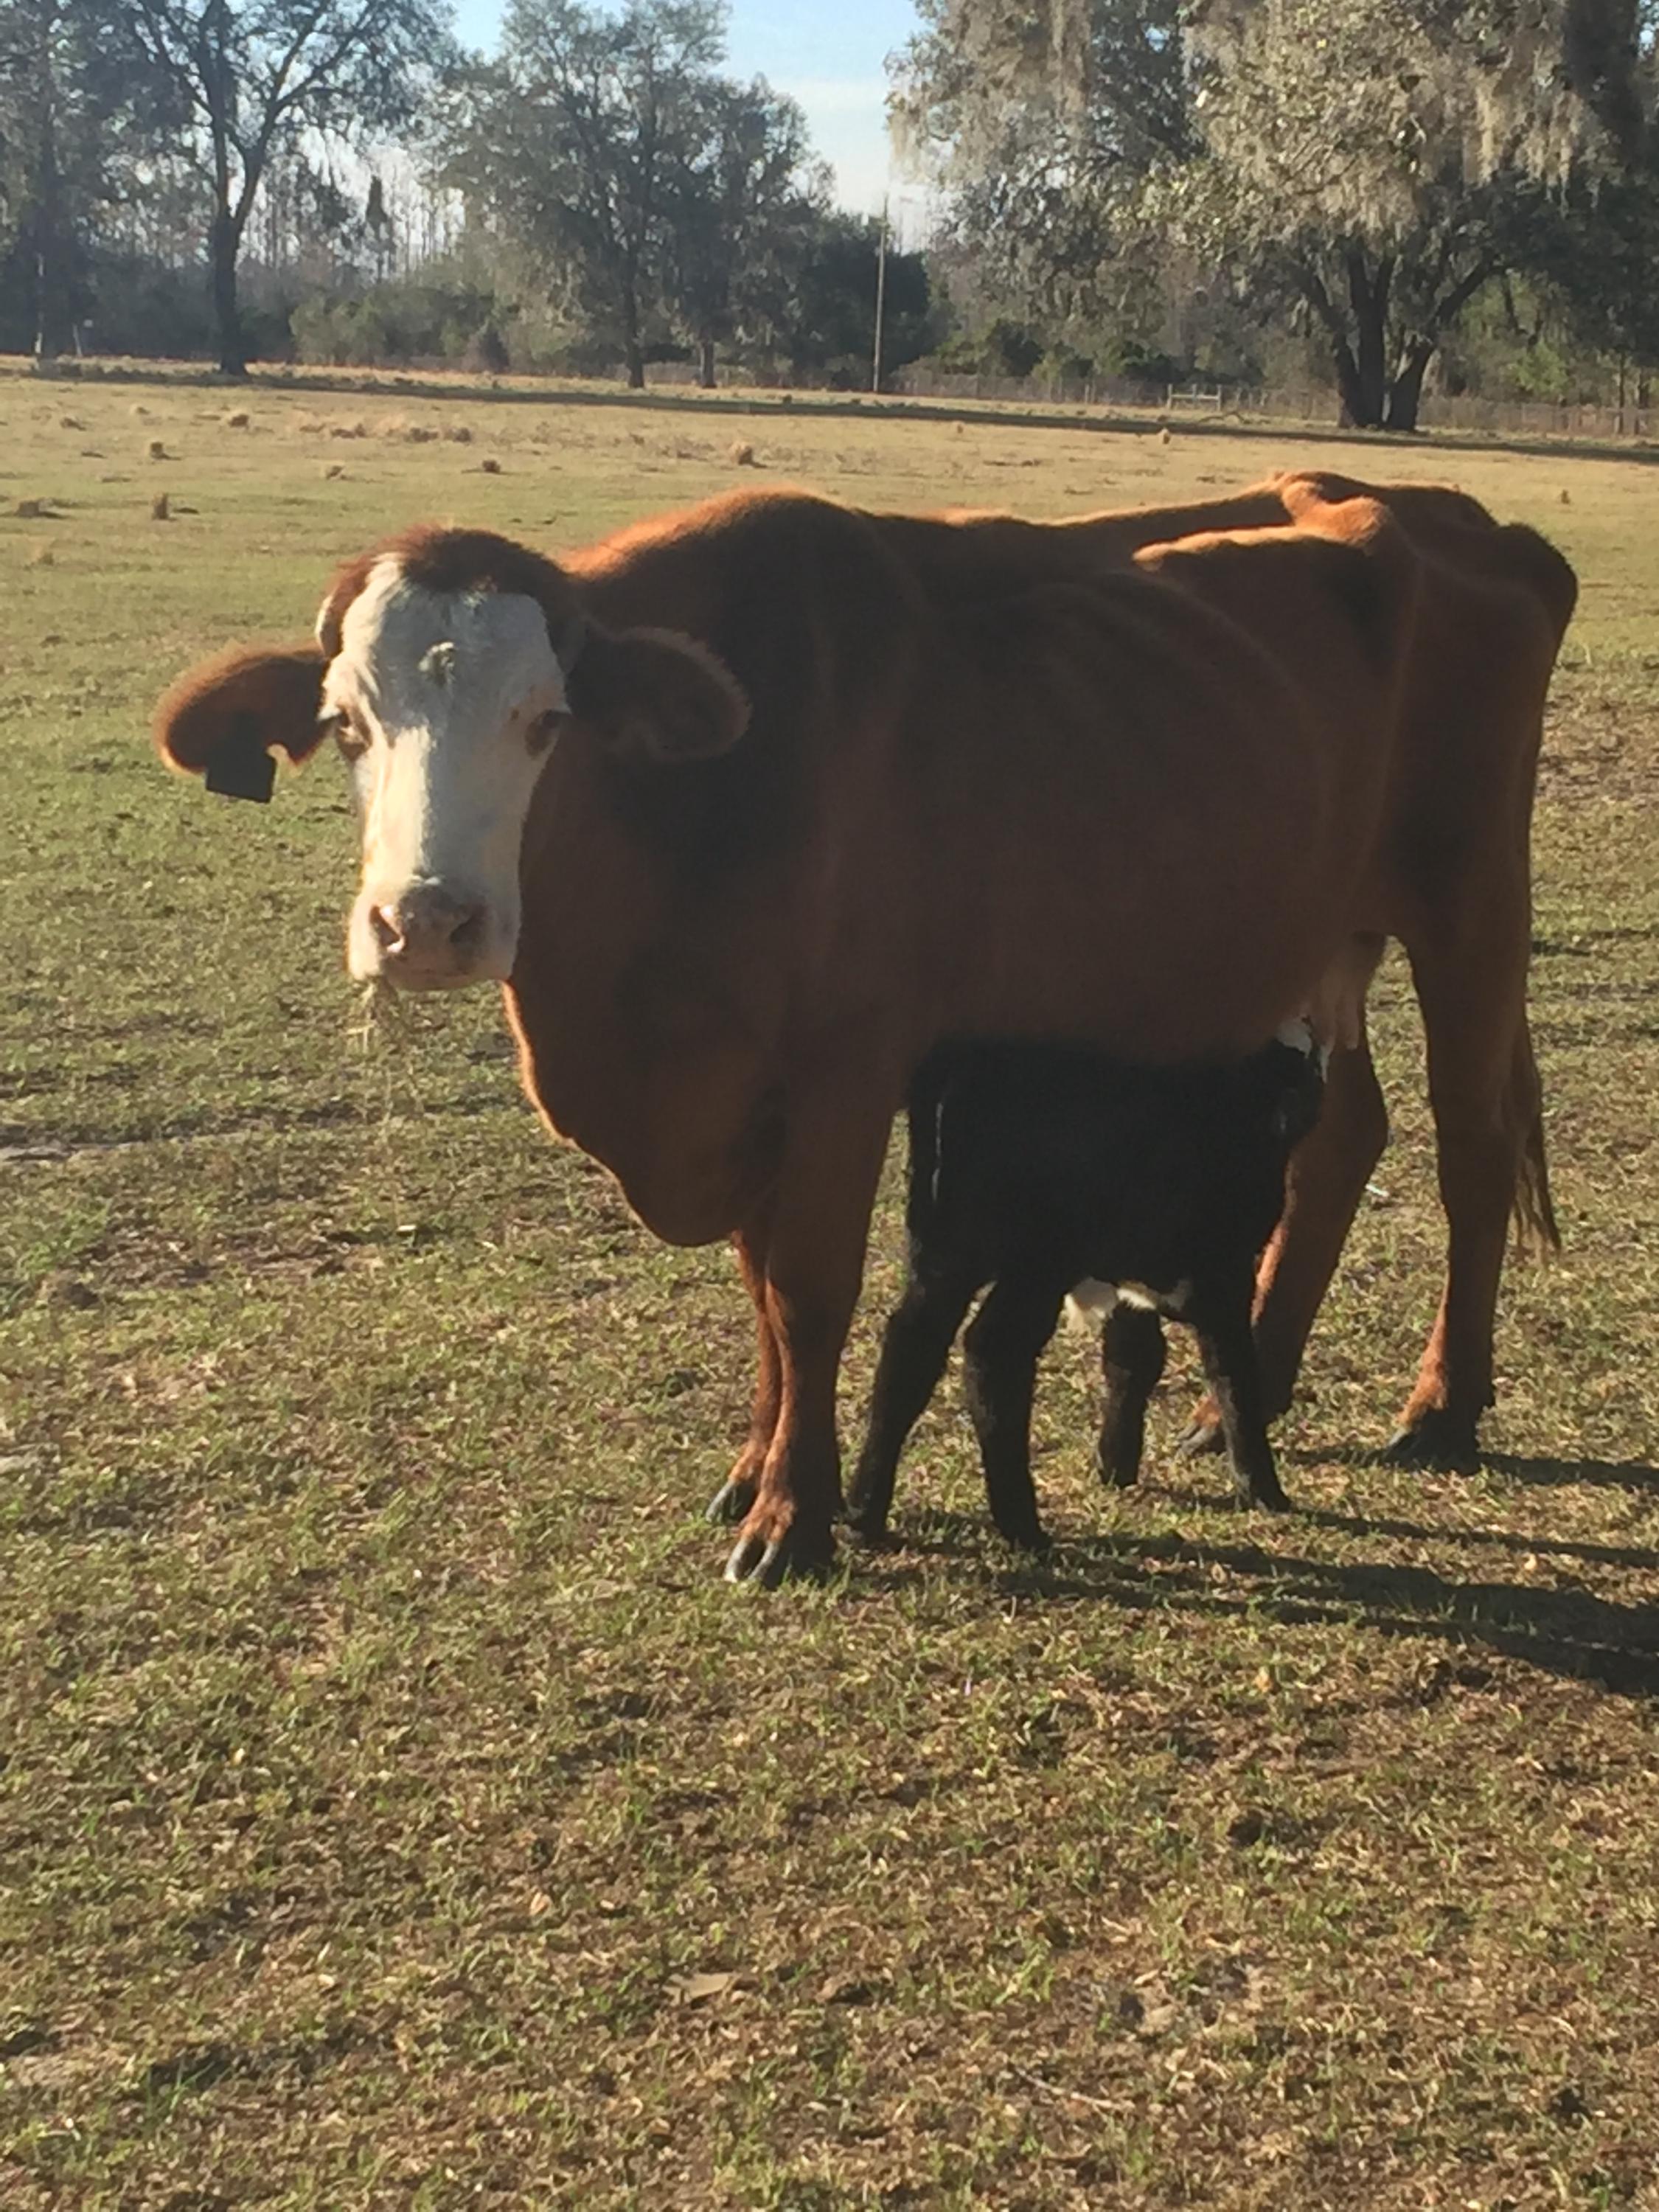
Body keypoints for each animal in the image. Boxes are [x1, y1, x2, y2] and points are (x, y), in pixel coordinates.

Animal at [152, 471, 1575, 1584]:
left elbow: (811, 1286)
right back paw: (1251, 1398)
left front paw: (796, 1513)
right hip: (1325, 932)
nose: (427, 922)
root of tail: (1448, 515)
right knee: (1338, 1137)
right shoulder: (741, 1095)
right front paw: (761, 1464)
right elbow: (759, 1288)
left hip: (1470, 905)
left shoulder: (845, 1069)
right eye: (345, 724)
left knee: (1470, 1142)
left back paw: (1442, 1406)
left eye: (546, 720)